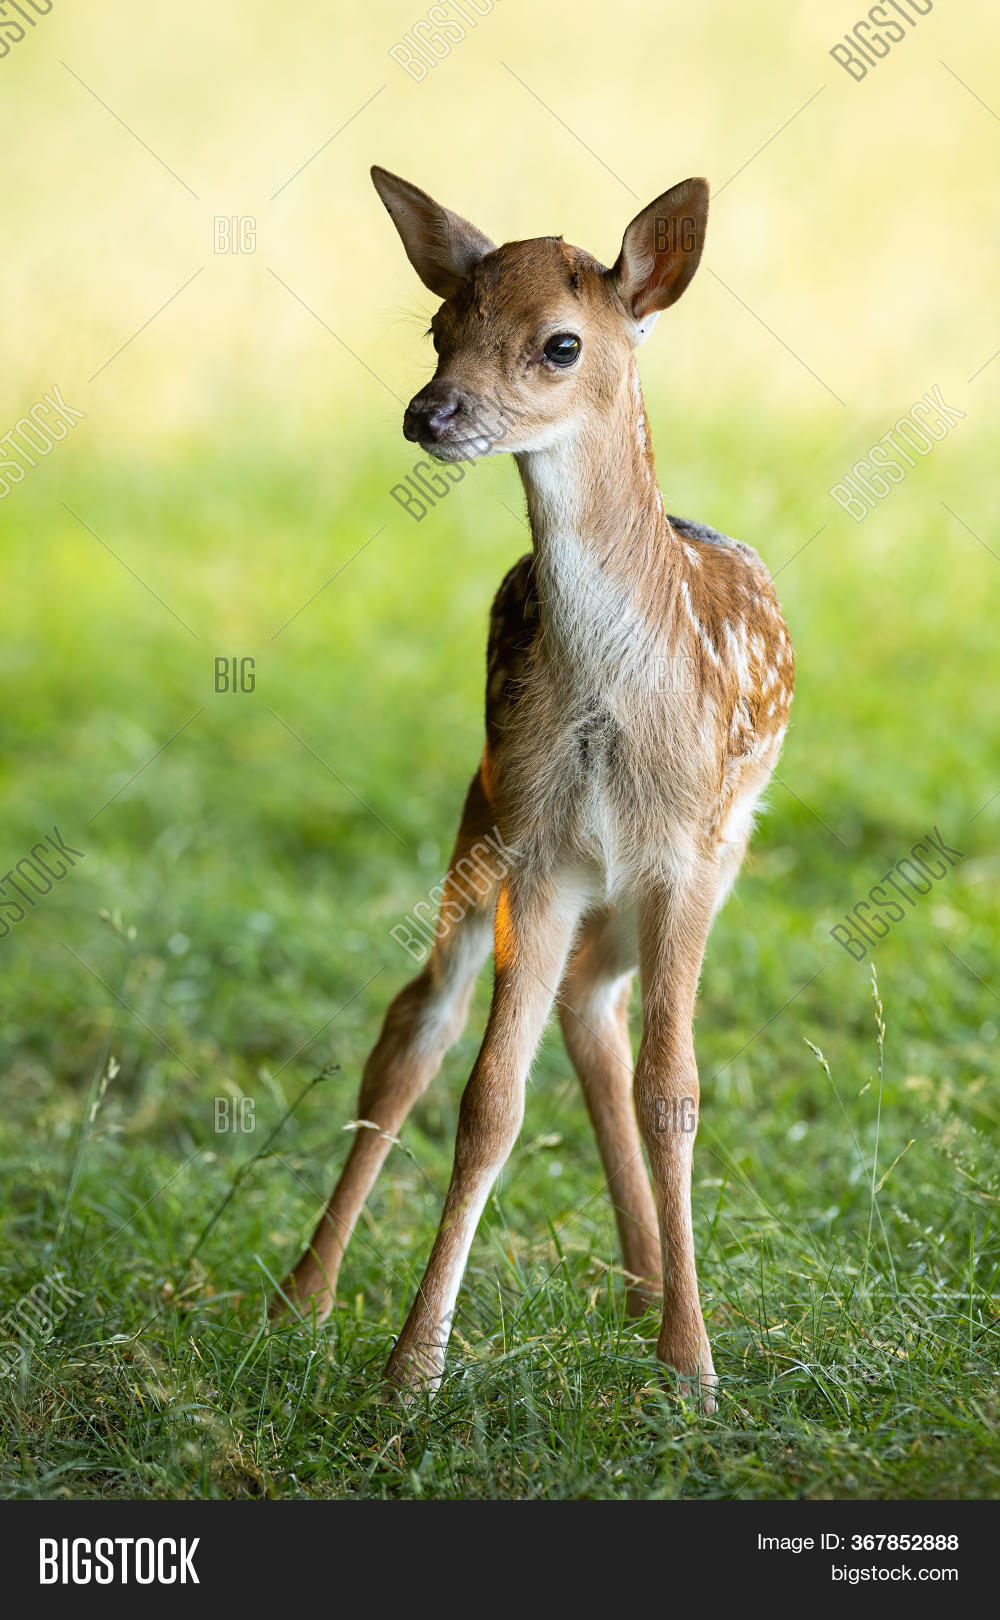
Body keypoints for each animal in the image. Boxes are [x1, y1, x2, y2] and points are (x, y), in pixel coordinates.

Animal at [274, 165, 795, 1413]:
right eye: (437, 327)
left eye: (560, 343)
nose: (430, 412)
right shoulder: (543, 845)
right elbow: (488, 1100)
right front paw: (412, 1367)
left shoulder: (684, 852)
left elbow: (674, 1088)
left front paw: (693, 1369)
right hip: (484, 814)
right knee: (423, 1018)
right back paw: (302, 1295)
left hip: (705, 855)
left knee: (594, 1010)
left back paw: (649, 1287)